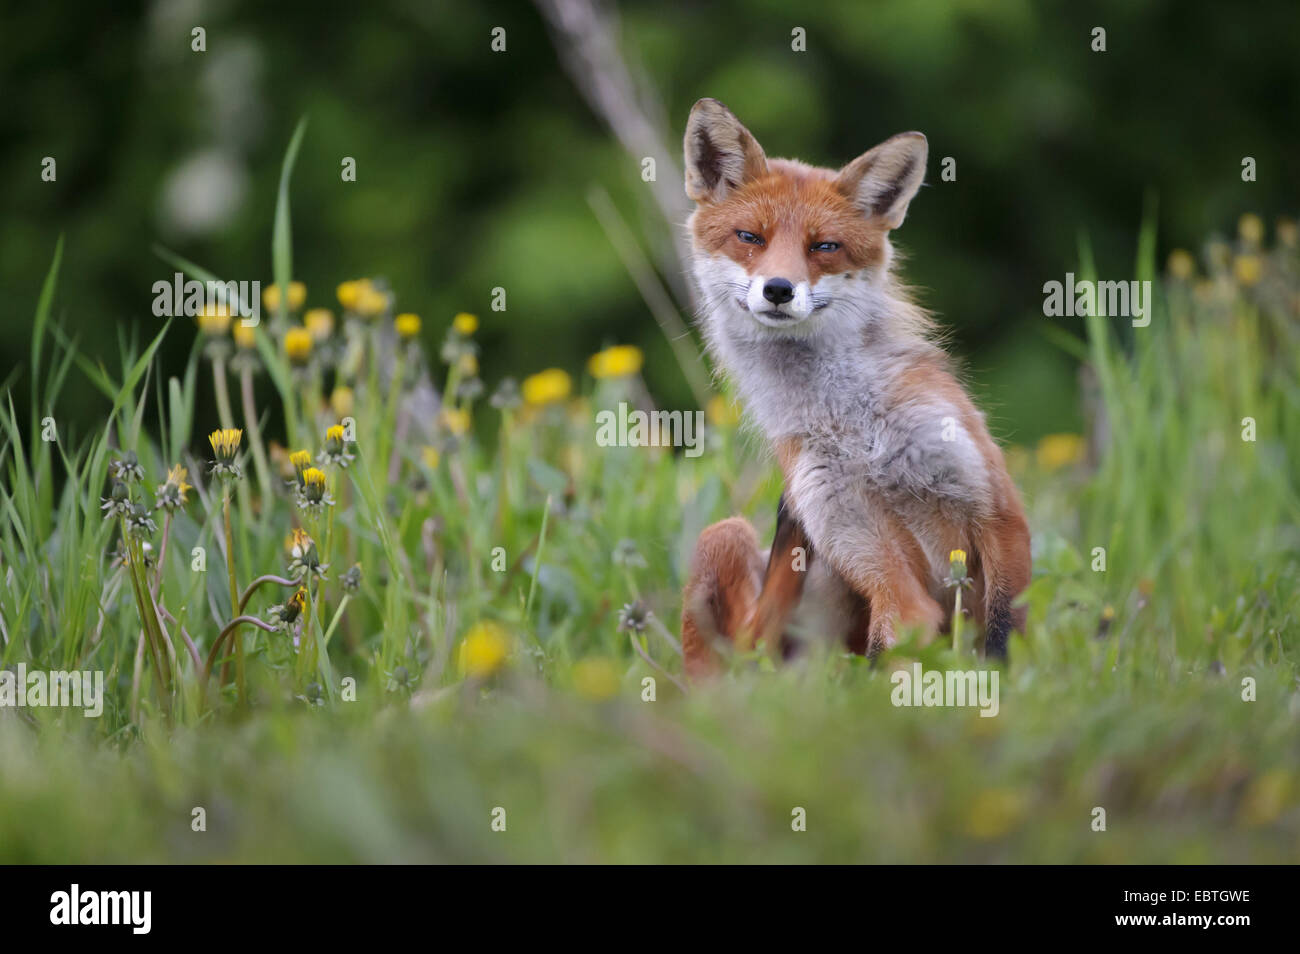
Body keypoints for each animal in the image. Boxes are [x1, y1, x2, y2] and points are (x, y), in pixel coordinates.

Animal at [679, 98, 1031, 679]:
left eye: (825, 246)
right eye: (750, 238)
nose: (779, 289)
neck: (858, 431)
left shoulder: (996, 508)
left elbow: (1004, 637)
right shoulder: (849, 525)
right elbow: (899, 634)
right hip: (723, 540)